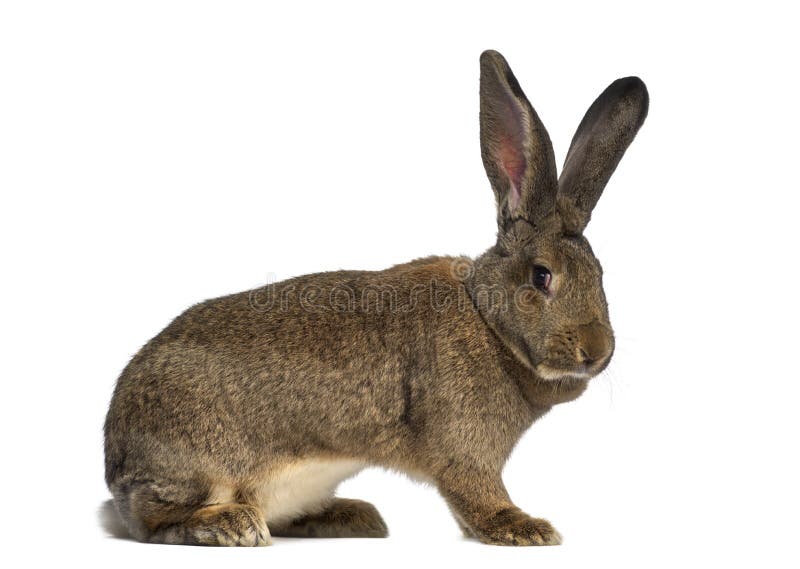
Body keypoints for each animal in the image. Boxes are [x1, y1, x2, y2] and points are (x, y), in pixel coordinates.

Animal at [104, 49, 648, 547]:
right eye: (541, 276)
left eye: (600, 274)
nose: (596, 351)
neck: (487, 322)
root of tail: (114, 458)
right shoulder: (464, 449)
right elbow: (476, 493)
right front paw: (525, 528)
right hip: (200, 466)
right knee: (152, 520)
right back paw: (230, 524)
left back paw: (351, 516)